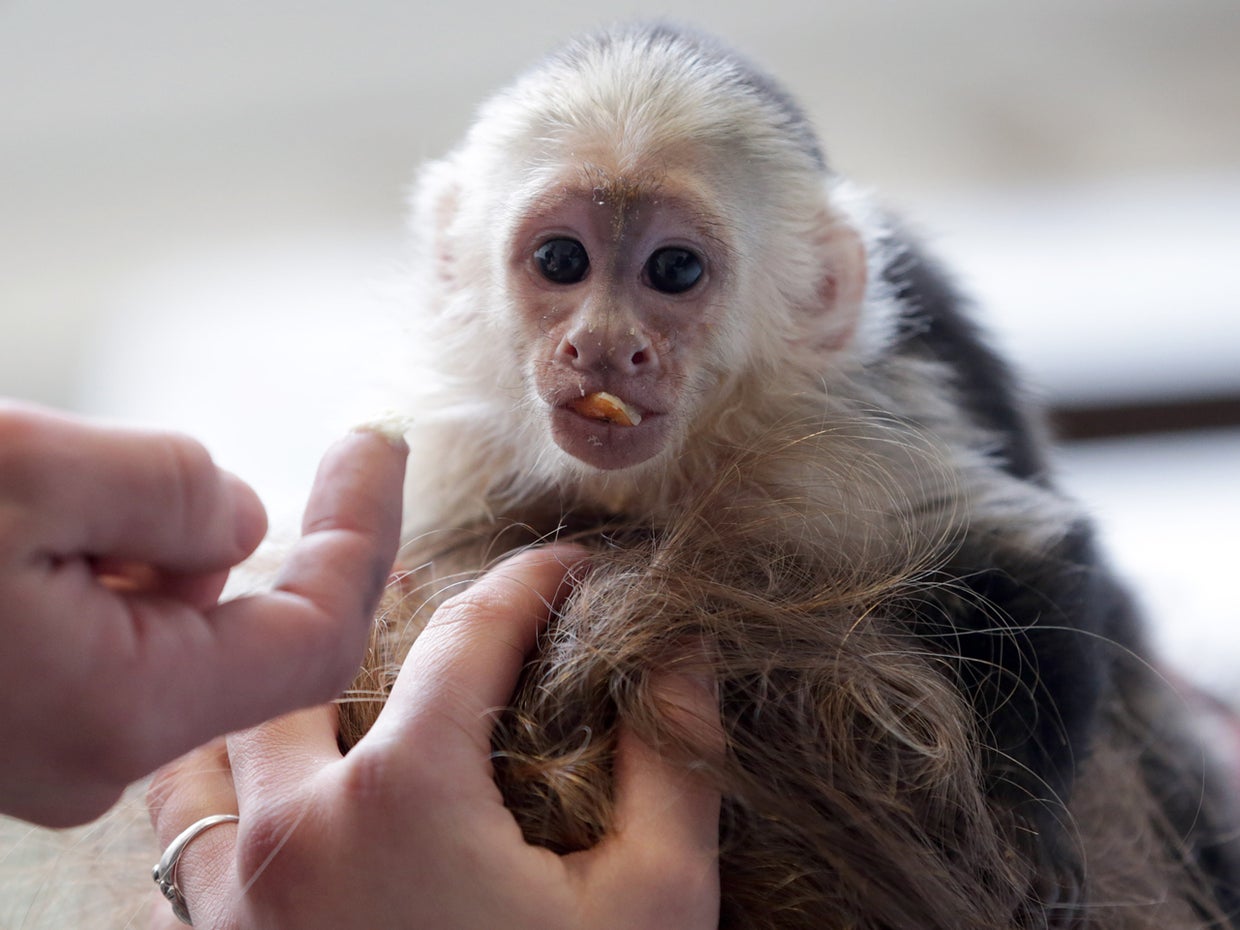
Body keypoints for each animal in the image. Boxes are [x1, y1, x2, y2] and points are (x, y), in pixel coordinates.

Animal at [322, 22, 1240, 930]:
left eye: (675, 270)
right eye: (560, 259)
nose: (606, 346)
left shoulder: (821, 438)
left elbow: (1030, 554)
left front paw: (1024, 828)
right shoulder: (466, 451)